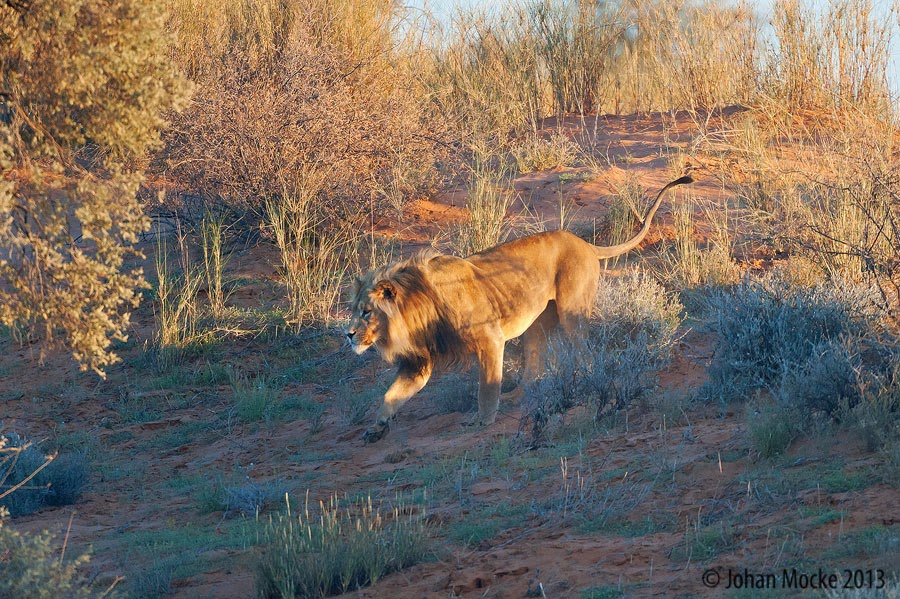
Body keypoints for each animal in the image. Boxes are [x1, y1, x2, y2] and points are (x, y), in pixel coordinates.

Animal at [346, 175, 693, 442]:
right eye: (354, 310)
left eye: (366, 312)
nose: (347, 335)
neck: (416, 311)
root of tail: (584, 243)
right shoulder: (419, 361)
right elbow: (391, 395)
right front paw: (377, 428)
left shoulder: (490, 340)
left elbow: (486, 387)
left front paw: (482, 421)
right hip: (538, 322)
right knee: (533, 367)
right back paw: (517, 396)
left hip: (572, 311)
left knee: (584, 351)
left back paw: (584, 384)